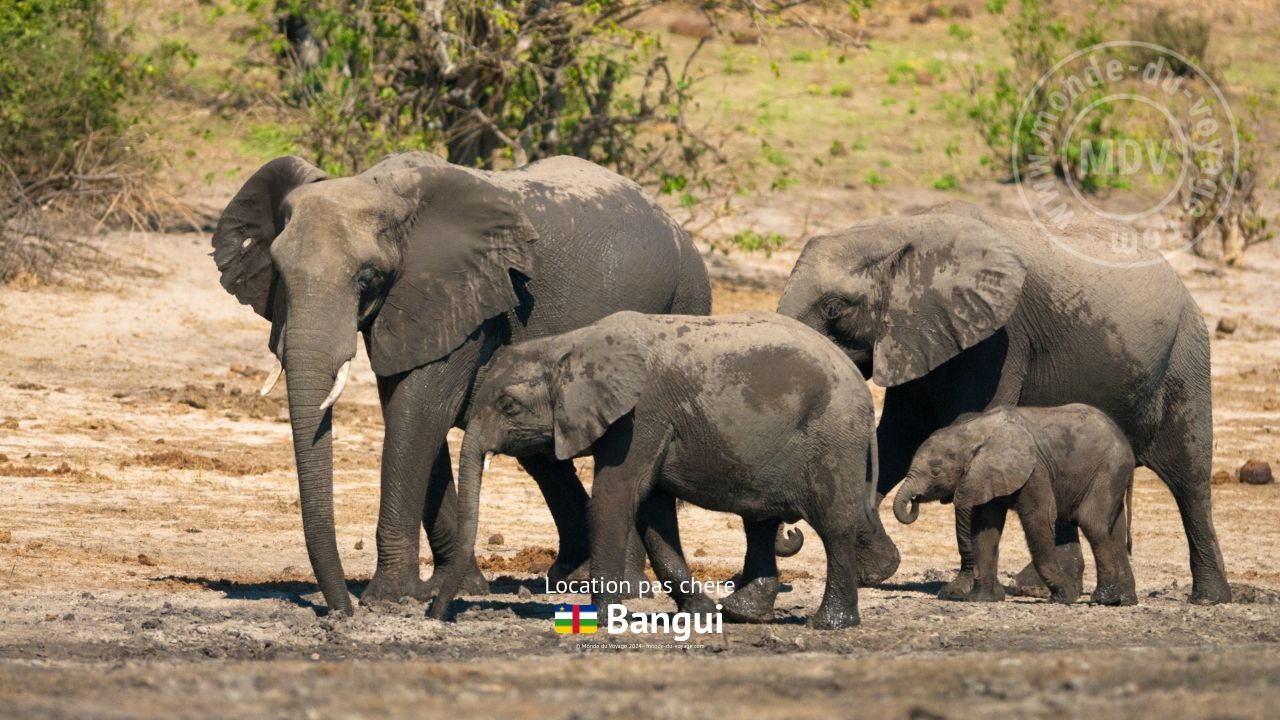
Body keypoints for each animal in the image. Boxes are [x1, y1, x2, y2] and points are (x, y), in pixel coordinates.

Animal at [212, 149, 711, 609]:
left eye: (367, 276)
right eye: (278, 273)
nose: (342, 611)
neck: (384, 189)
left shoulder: (462, 297)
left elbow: (417, 412)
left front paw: (387, 599)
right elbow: (407, 411)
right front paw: (455, 587)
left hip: (685, 297)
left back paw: (626, 588)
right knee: (543, 456)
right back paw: (571, 578)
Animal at [424, 308, 896, 627]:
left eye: (508, 405)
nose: (438, 613)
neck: (568, 344)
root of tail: (859, 382)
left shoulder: (641, 414)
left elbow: (616, 497)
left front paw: (605, 617)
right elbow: (653, 511)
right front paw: (699, 612)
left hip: (833, 435)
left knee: (834, 525)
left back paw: (828, 624)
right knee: (760, 522)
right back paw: (740, 615)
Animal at [890, 407, 1141, 602]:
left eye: (935, 471)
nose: (915, 500)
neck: (974, 432)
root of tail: (1127, 446)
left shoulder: (1035, 470)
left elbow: (1038, 520)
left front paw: (1064, 597)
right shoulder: (985, 475)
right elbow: (985, 529)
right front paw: (983, 599)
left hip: (1108, 469)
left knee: (1093, 524)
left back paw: (1104, 599)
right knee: (1115, 531)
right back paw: (1125, 600)